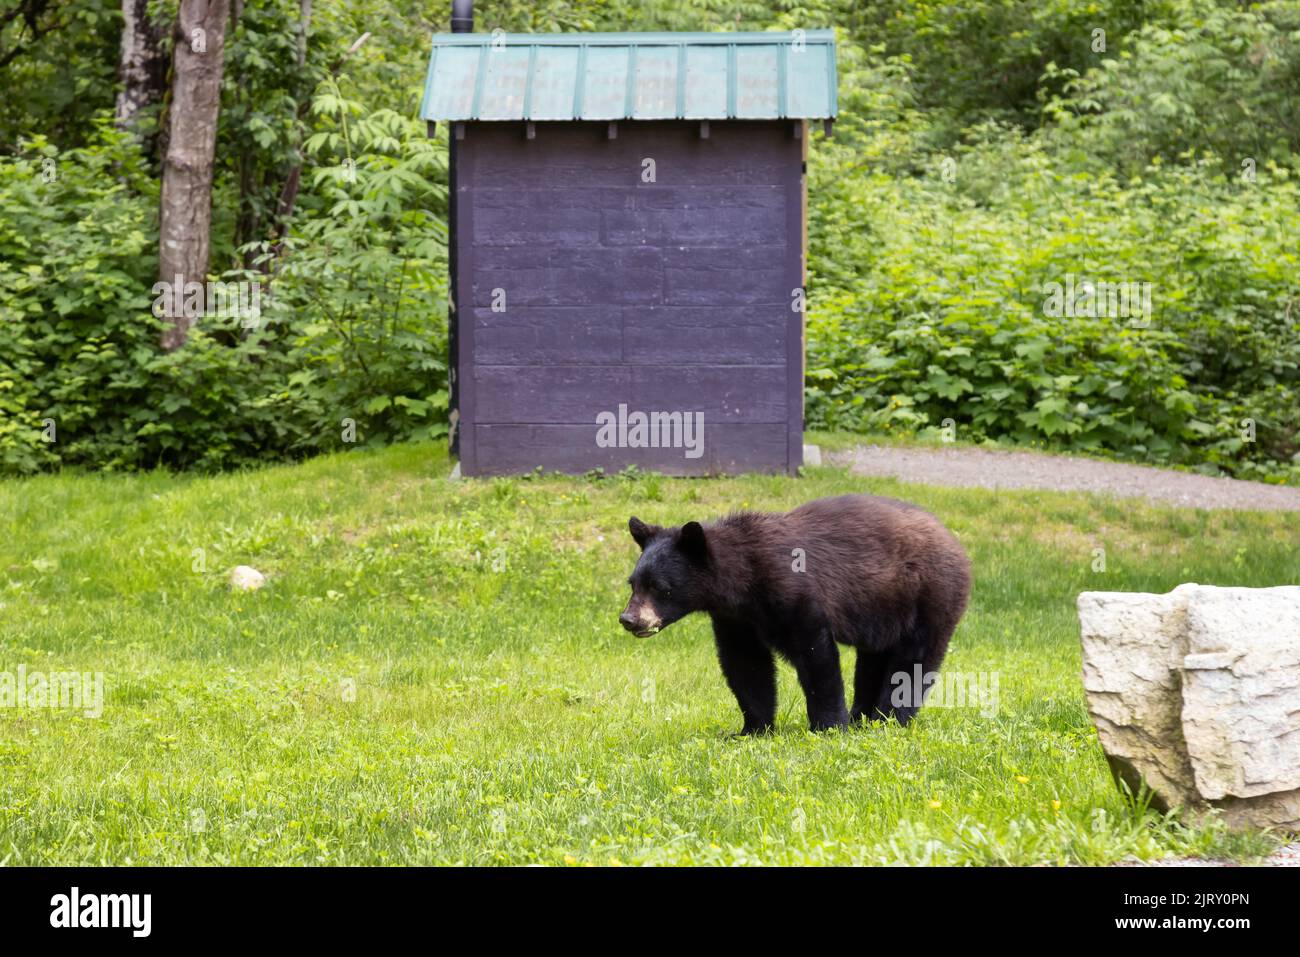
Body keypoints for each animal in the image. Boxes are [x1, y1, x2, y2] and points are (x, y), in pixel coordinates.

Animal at [618, 494, 972, 734]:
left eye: (659, 587)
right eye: (633, 583)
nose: (629, 620)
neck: (744, 577)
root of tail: (957, 544)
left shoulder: (792, 592)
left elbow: (815, 655)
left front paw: (829, 726)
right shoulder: (736, 618)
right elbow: (747, 665)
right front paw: (752, 729)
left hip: (929, 598)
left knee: (913, 662)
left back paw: (887, 720)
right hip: (884, 610)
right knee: (873, 661)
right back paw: (862, 718)